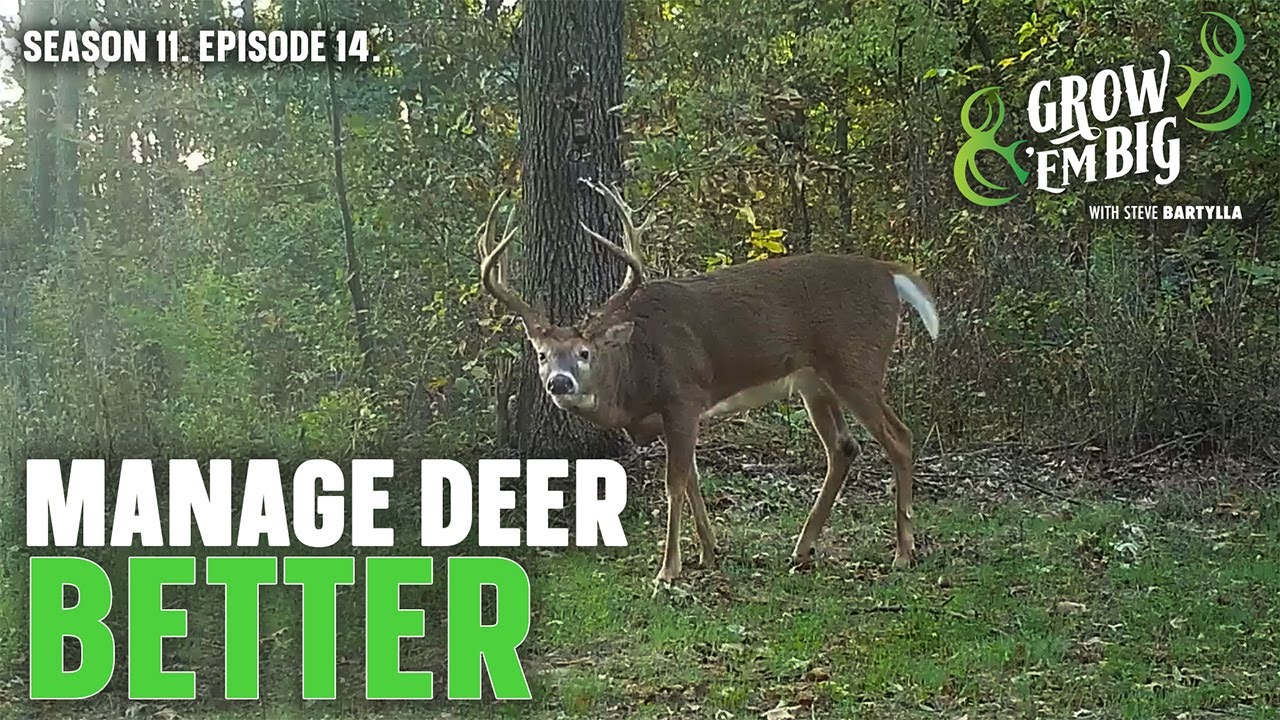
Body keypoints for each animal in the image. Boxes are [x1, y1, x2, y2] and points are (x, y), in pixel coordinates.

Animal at [478, 179, 940, 586]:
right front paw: (708, 551)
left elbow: (674, 483)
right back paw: (802, 549)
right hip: (814, 383)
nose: (560, 383)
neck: (636, 372)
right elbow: (693, 479)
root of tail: (888, 273)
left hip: (857, 365)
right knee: (844, 448)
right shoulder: (675, 414)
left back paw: (903, 552)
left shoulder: (683, 395)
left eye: (584, 353)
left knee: (899, 437)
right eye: (542, 355)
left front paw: (667, 570)